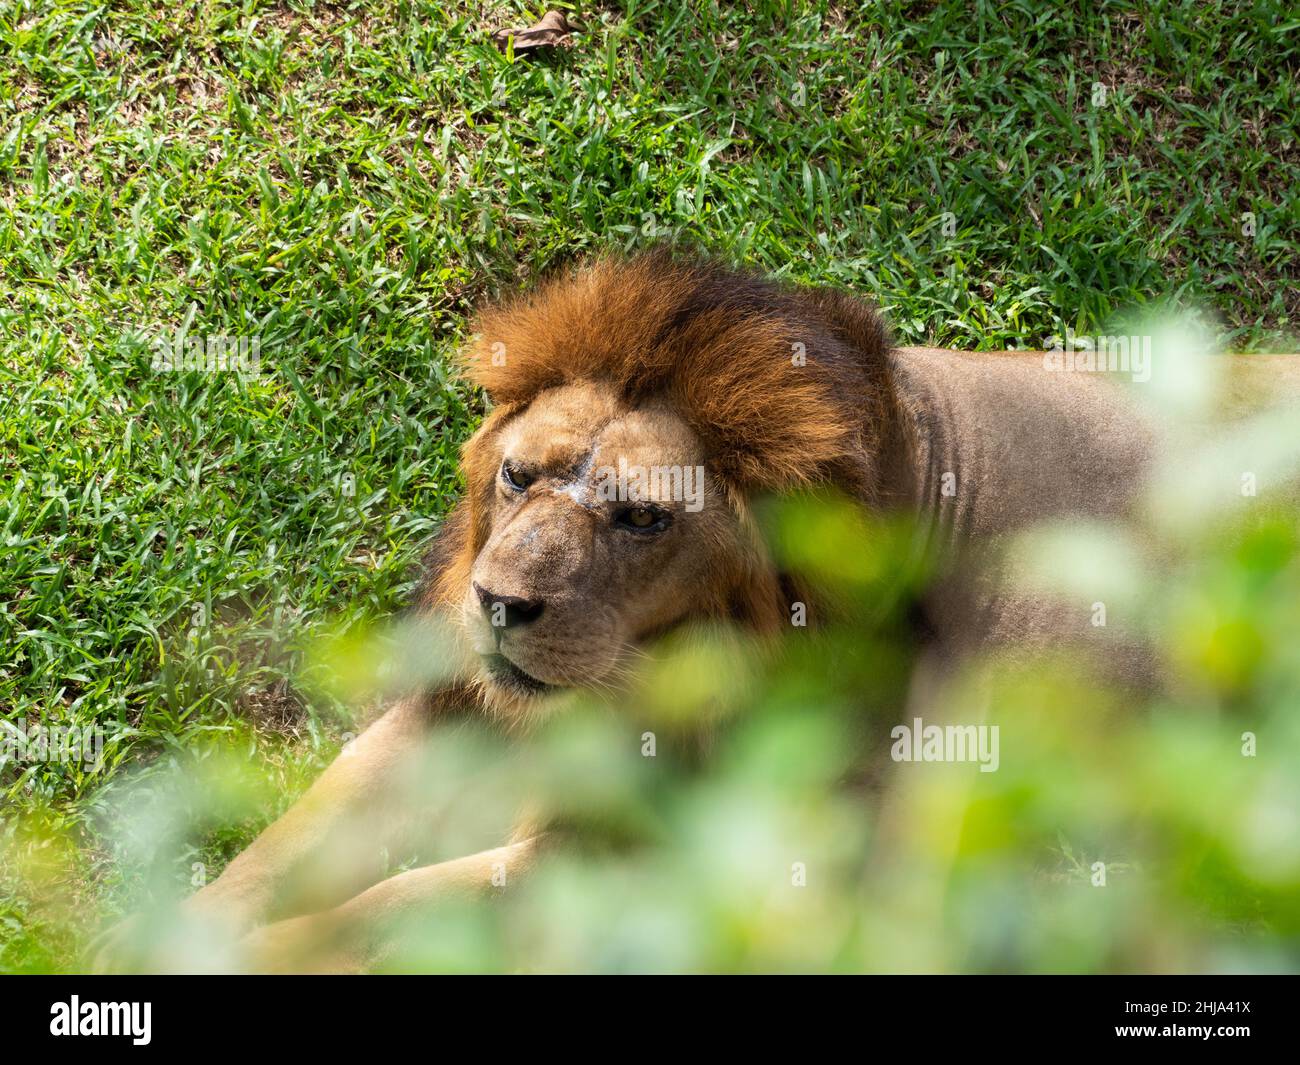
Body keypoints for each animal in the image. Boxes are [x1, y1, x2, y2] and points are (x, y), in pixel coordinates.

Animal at [97, 250, 1300, 973]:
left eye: (640, 519)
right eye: (519, 477)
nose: (496, 603)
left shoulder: (648, 856)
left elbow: (386, 907)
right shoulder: (463, 708)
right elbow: (301, 837)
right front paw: (170, 927)